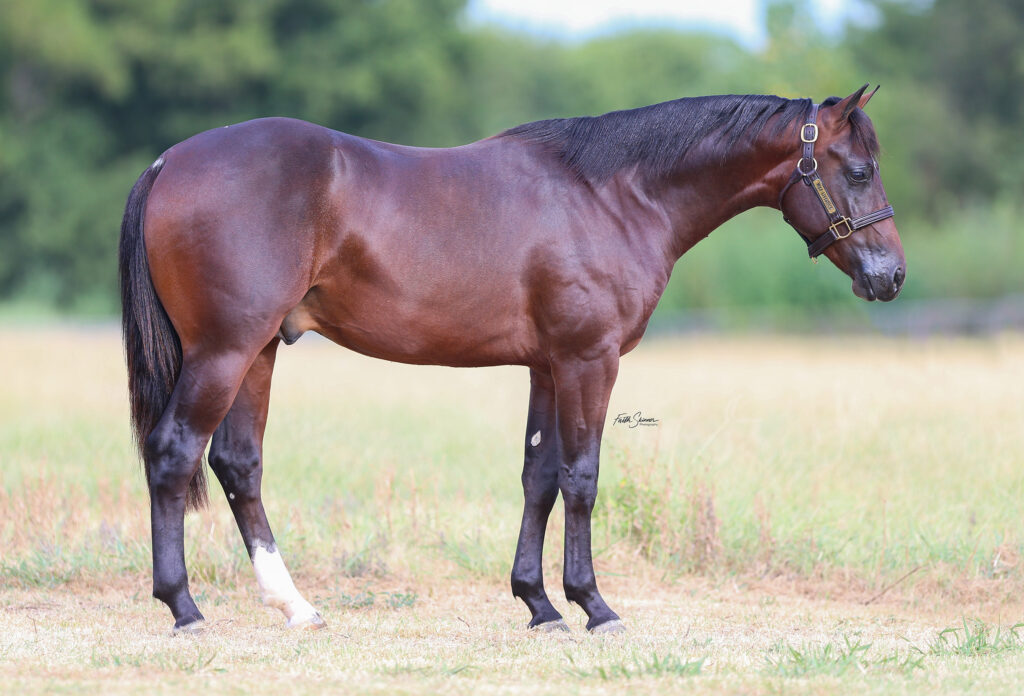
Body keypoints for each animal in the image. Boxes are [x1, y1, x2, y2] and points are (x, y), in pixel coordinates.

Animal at [119, 84, 904, 634]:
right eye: (859, 170)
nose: (891, 276)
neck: (612, 196)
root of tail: (168, 160)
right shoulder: (590, 361)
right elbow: (581, 477)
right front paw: (594, 606)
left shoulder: (548, 365)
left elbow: (539, 477)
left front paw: (539, 604)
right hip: (224, 350)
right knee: (174, 452)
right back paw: (183, 607)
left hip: (257, 352)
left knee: (237, 464)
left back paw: (295, 606)